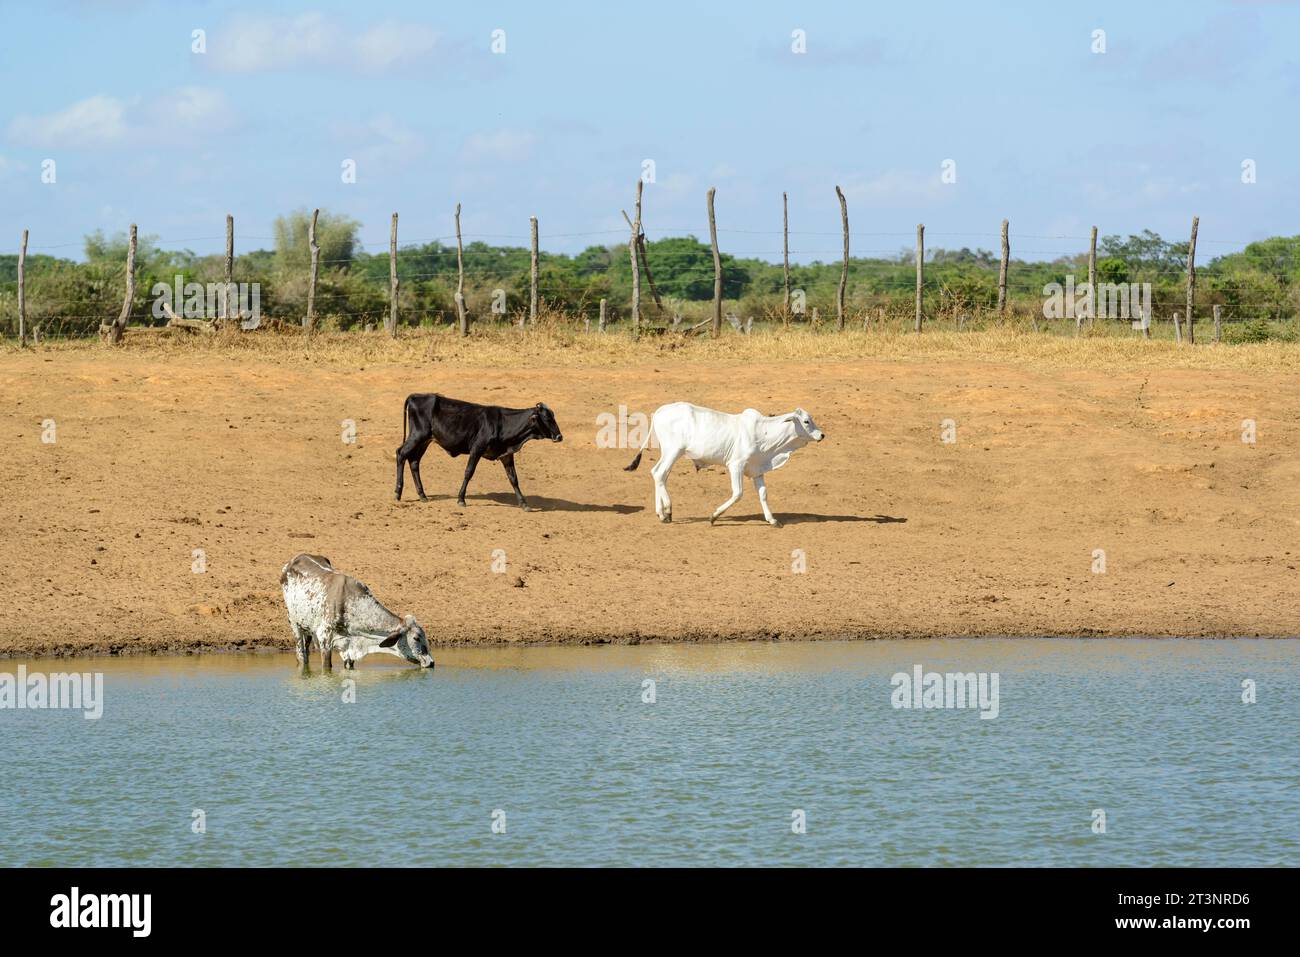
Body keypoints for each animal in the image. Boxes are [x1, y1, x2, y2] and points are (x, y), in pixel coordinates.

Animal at [280, 553, 435, 671]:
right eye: (416, 638)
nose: (432, 662)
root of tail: (292, 561)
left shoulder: (349, 649)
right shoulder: (324, 640)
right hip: (294, 623)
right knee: (301, 654)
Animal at [395, 393, 563, 509]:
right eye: (547, 418)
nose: (559, 436)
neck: (502, 423)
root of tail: (416, 396)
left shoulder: (506, 455)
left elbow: (513, 478)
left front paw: (524, 503)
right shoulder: (476, 449)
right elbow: (468, 473)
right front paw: (461, 499)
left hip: (425, 440)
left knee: (414, 461)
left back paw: (422, 495)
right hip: (417, 435)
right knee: (401, 454)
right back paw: (397, 492)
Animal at [625, 403, 825, 527]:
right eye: (806, 421)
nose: (822, 435)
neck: (764, 434)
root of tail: (661, 410)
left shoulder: (757, 470)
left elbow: (763, 495)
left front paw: (772, 520)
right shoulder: (736, 466)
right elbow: (737, 494)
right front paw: (713, 516)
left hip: (669, 453)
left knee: (658, 474)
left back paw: (662, 513)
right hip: (674, 451)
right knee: (660, 474)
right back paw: (667, 511)